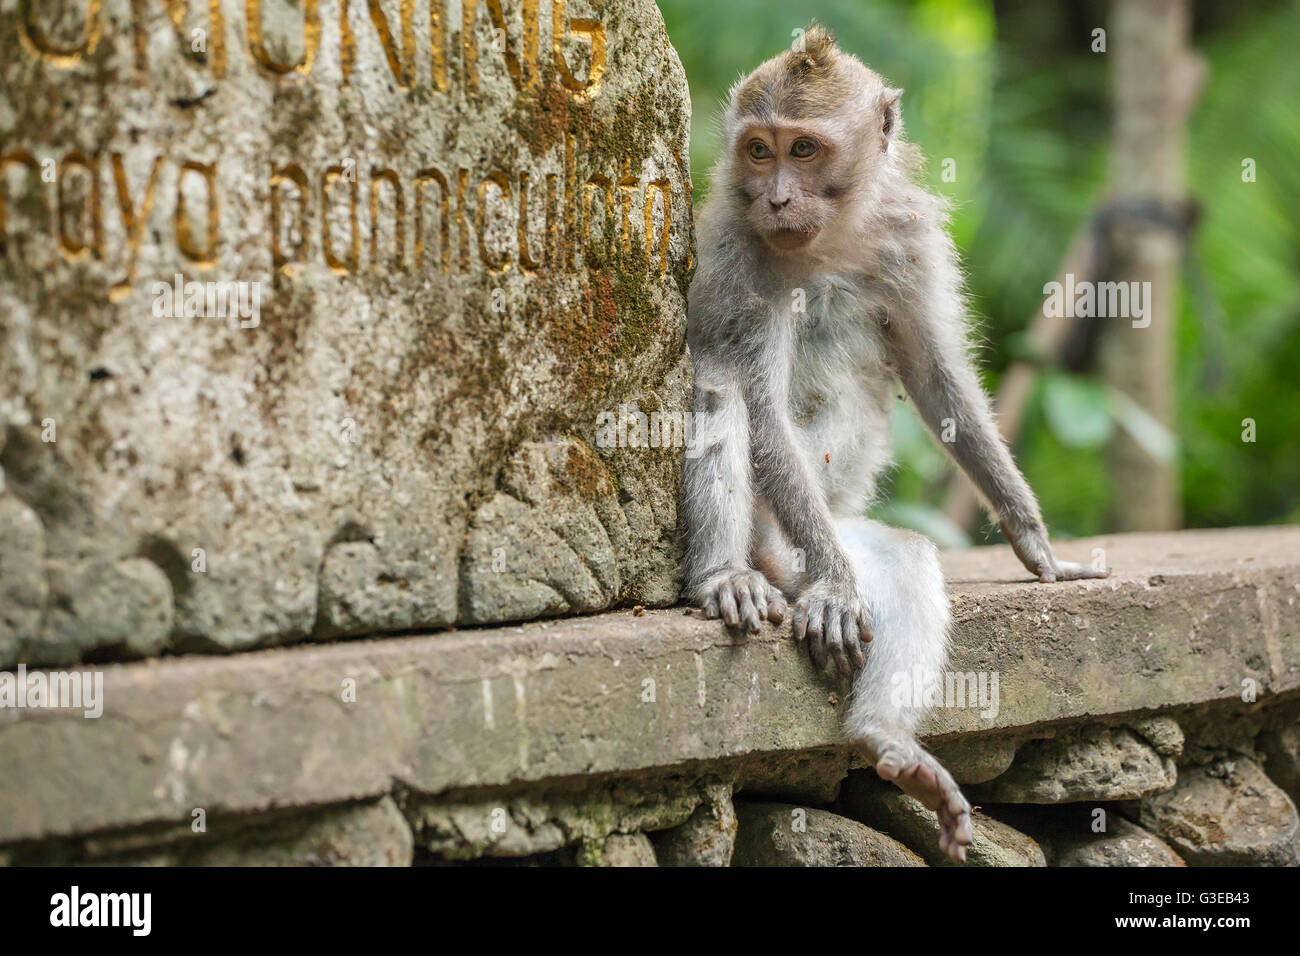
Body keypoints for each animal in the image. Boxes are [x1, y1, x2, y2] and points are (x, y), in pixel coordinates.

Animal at [681, 26, 1107, 863]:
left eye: (804, 150)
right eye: (757, 152)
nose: (775, 197)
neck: (832, 237)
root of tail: (781, 561)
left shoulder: (910, 233)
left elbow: (935, 373)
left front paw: (1035, 542)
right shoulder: (739, 251)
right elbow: (758, 399)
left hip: (843, 541)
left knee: (906, 561)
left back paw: (888, 742)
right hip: (787, 546)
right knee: (720, 391)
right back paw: (731, 576)